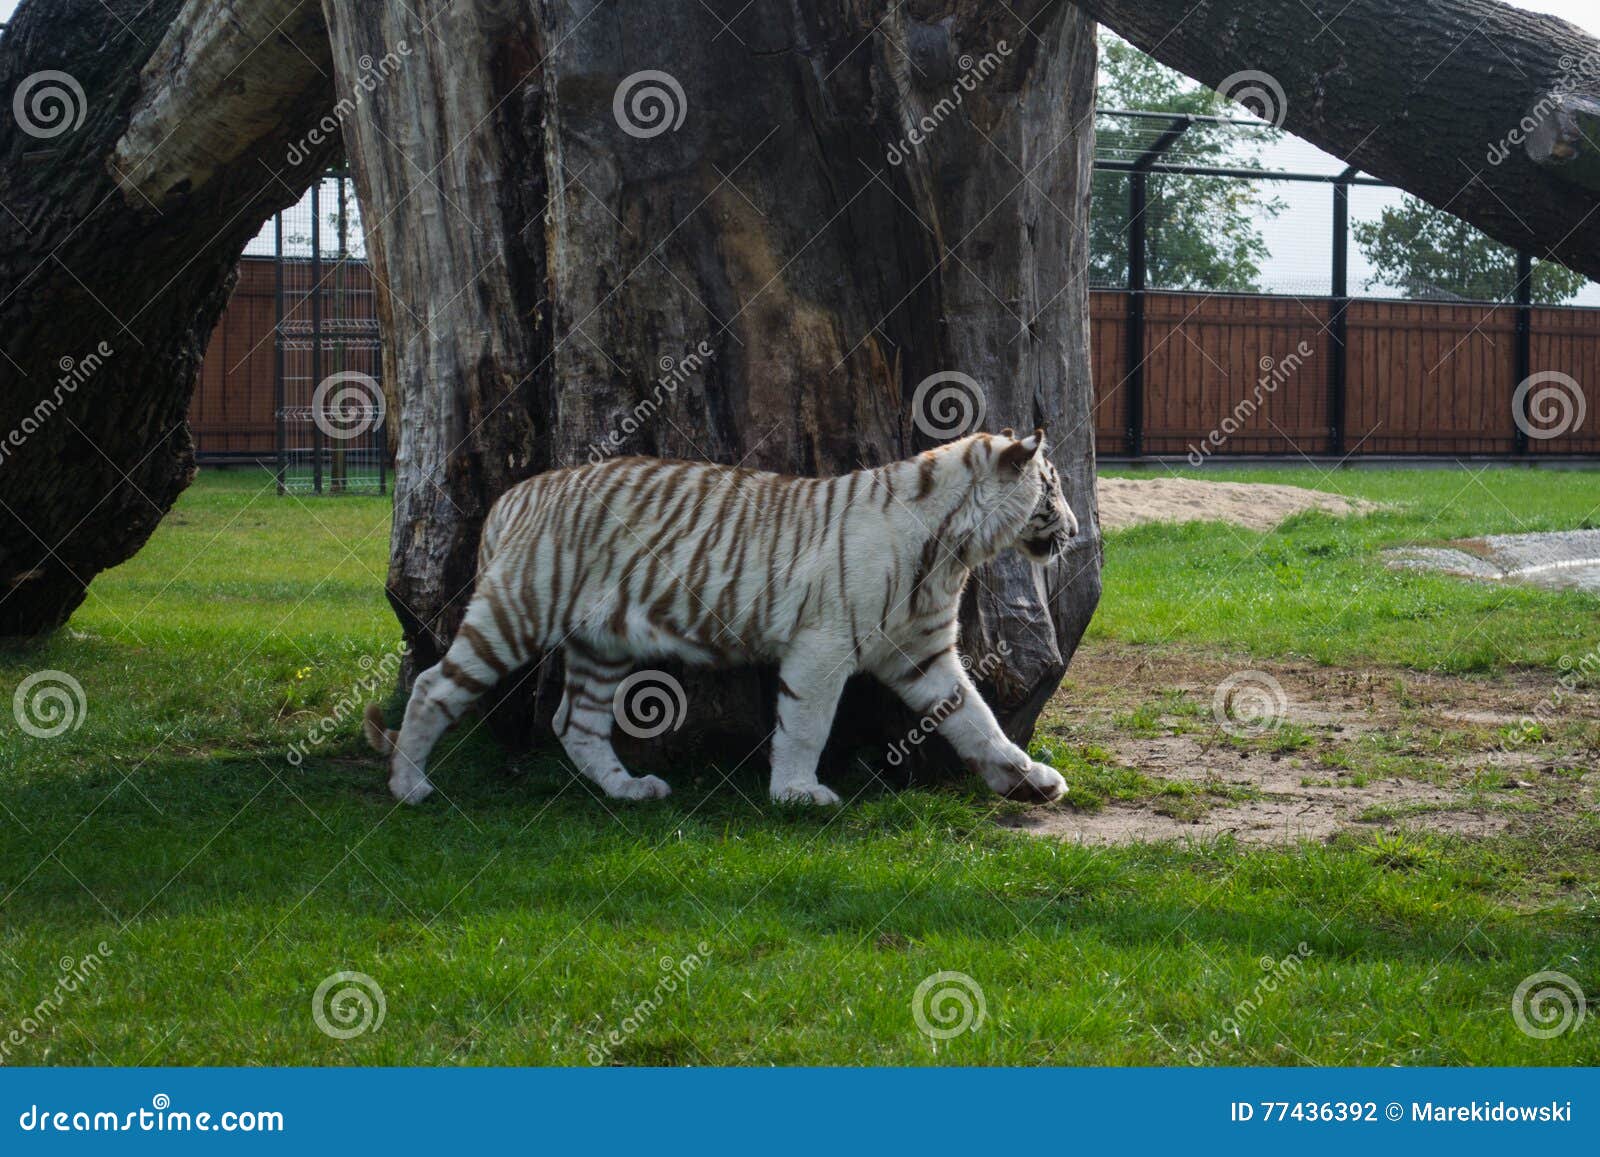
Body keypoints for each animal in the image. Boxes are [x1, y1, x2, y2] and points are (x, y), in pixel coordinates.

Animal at [363, 427, 1079, 807]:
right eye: (1051, 488)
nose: (1074, 530)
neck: (953, 548)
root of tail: (514, 493)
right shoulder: (822, 647)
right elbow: (805, 726)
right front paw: (797, 794)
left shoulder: (922, 652)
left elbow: (977, 719)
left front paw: (1026, 777)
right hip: (514, 613)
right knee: (432, 686)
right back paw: (408, 784)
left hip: (602, 644)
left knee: (576, 723)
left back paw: (629, 789)